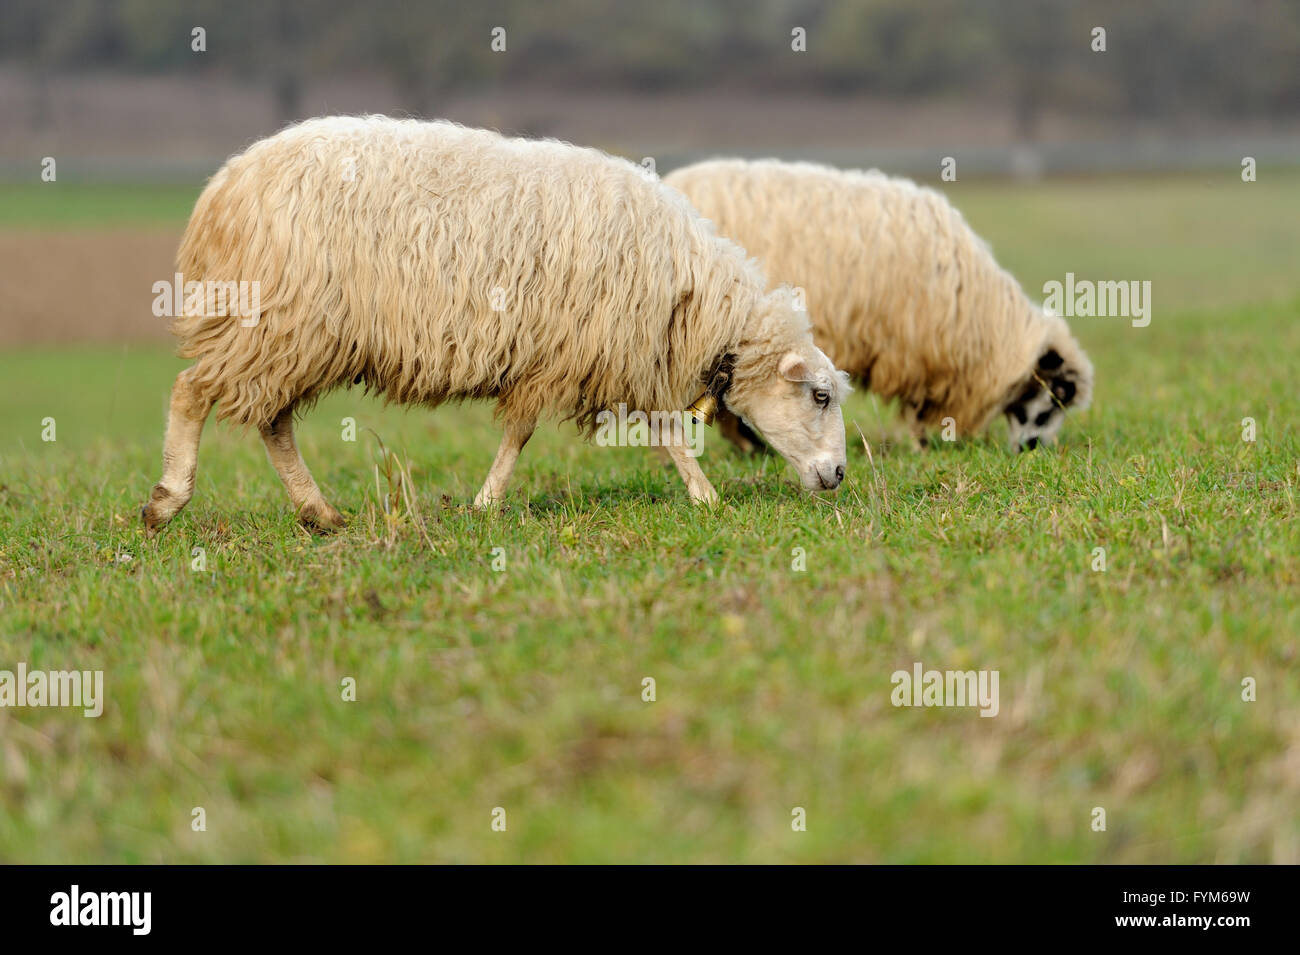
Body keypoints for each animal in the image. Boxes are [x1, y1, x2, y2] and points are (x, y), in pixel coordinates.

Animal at [141, 117, 849, 534]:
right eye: (819, 395)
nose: (840, 476)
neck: (694, 297)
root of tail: (222, 187)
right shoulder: (593, 348)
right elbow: (552, 432)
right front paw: (709, 499)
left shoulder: (610, 354)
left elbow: (656, 432)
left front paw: (702, 496)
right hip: (276, 320)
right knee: (192, 392)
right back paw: (166, 500)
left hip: (287, 335)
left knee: (271, 421)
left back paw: (319, 513)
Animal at [664, 159, 1094, 451]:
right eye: (1052, 399)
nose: (1031, 450)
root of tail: (670, 180)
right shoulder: (921, 351)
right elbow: (919, 409)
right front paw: (922, 444)